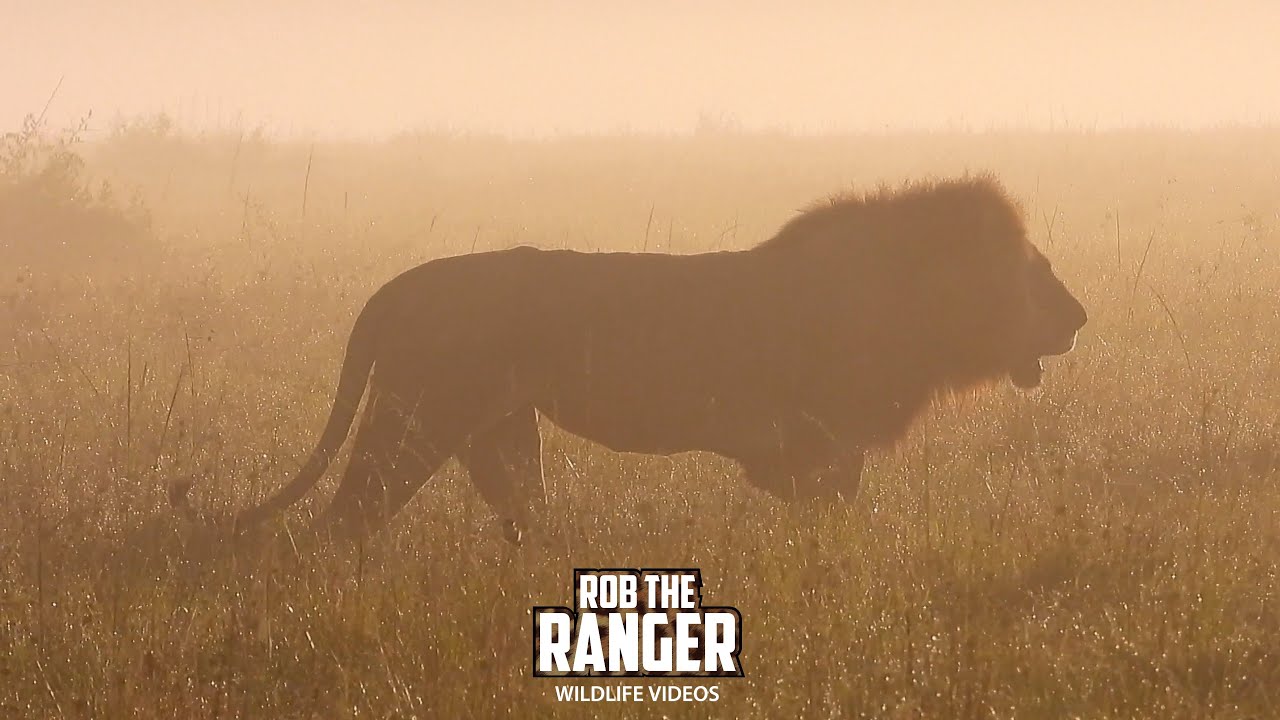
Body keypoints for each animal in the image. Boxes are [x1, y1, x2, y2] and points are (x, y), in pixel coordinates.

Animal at [232, 174, 1087, 542]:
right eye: (1035, 271)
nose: (1080, 318)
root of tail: (400, 284)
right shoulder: (821, 442)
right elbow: (835, 513)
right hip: (416, 418)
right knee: (347, 515)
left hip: (502, 428)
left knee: (515, 508)